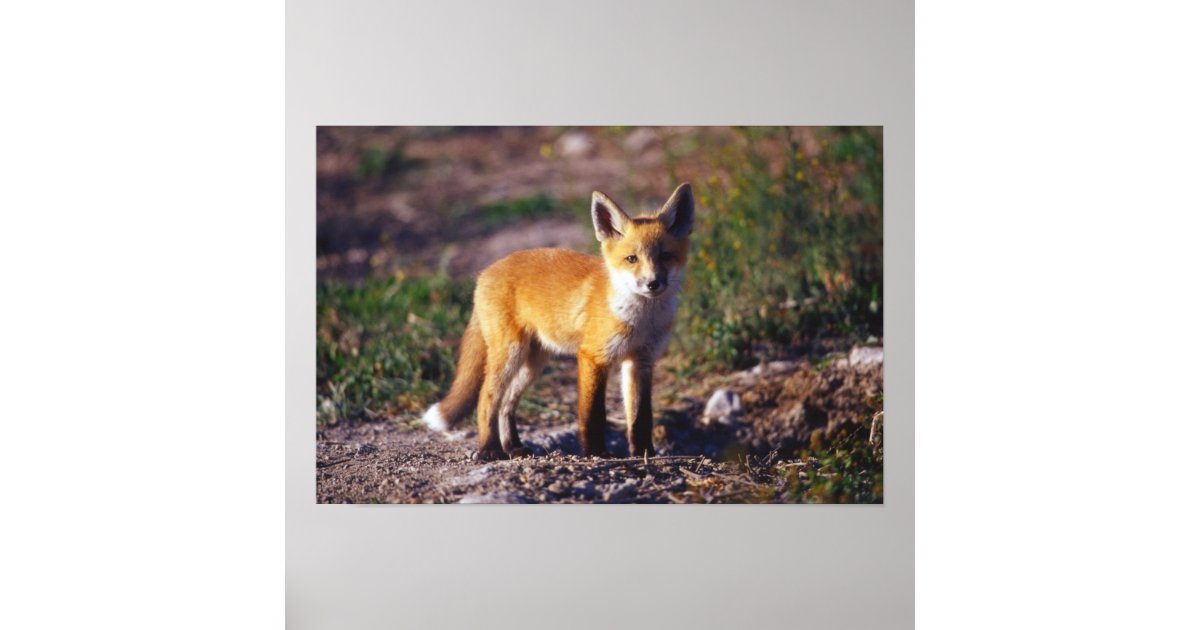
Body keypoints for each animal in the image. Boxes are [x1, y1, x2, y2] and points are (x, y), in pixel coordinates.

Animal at [421, 183, 695, 461]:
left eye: (665, 256)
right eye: (632, 259)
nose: (653, 283)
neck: (641, 320)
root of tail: (486, 271)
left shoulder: (641, 361)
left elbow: (641, 417)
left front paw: (644, 453)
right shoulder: (593, 356)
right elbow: (594, 414)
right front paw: (596, 452)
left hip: (535, 362)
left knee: (507, 403)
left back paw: (513, 447)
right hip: (511, 354)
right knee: (487, 398)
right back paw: (489, 449)